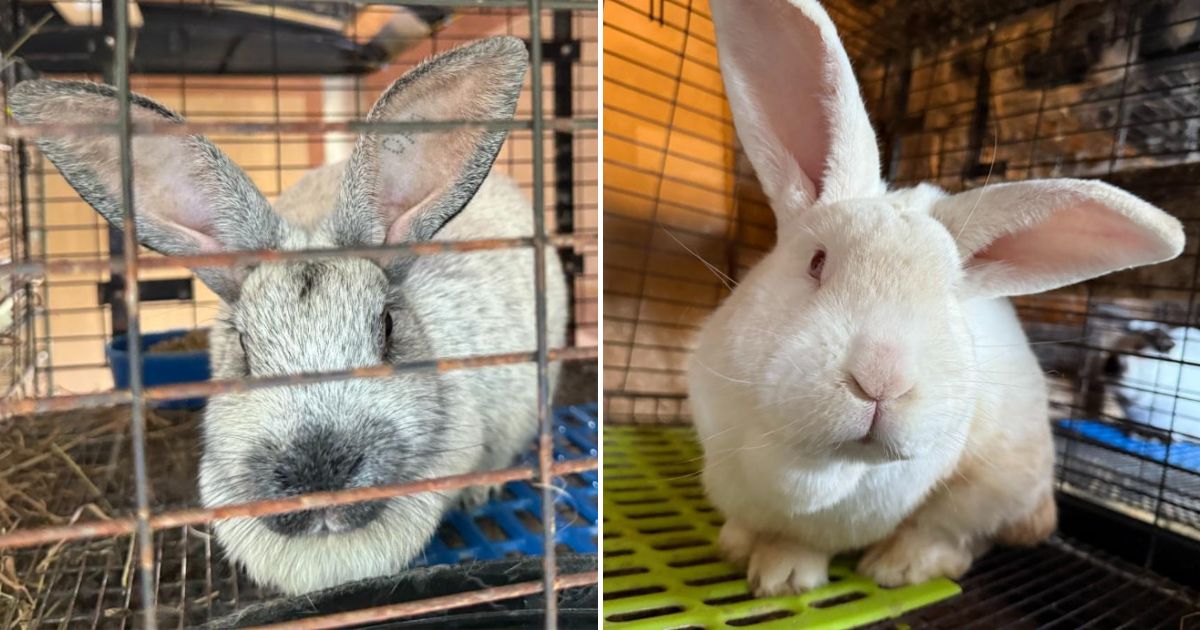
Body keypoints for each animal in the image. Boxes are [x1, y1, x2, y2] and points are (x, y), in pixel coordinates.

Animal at [690, 0, 1186, 597]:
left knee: (960, 540)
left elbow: (803, 544)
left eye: (949, 298)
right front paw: (741, 548)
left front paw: (784, 579)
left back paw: (897, 565)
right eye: (817, 261)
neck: (808, 466)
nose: (881, 381)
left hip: (990, 487)